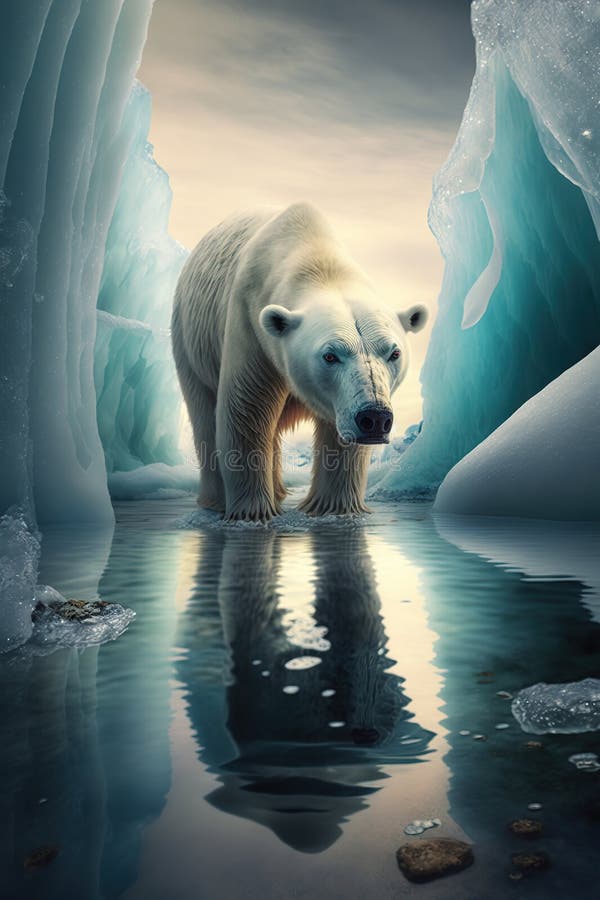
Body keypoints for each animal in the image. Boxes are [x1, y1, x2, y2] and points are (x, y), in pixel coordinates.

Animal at [171, 203, 427, 521]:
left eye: (393, 353)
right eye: (330, 355)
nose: (375, 418)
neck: (314, 257)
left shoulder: (344, 397)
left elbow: (341, 438)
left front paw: (335, 509)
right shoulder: (251, 328)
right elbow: (245, 412)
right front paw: (253, 513)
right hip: (189, 339)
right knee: (204, 412)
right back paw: (216, 500)